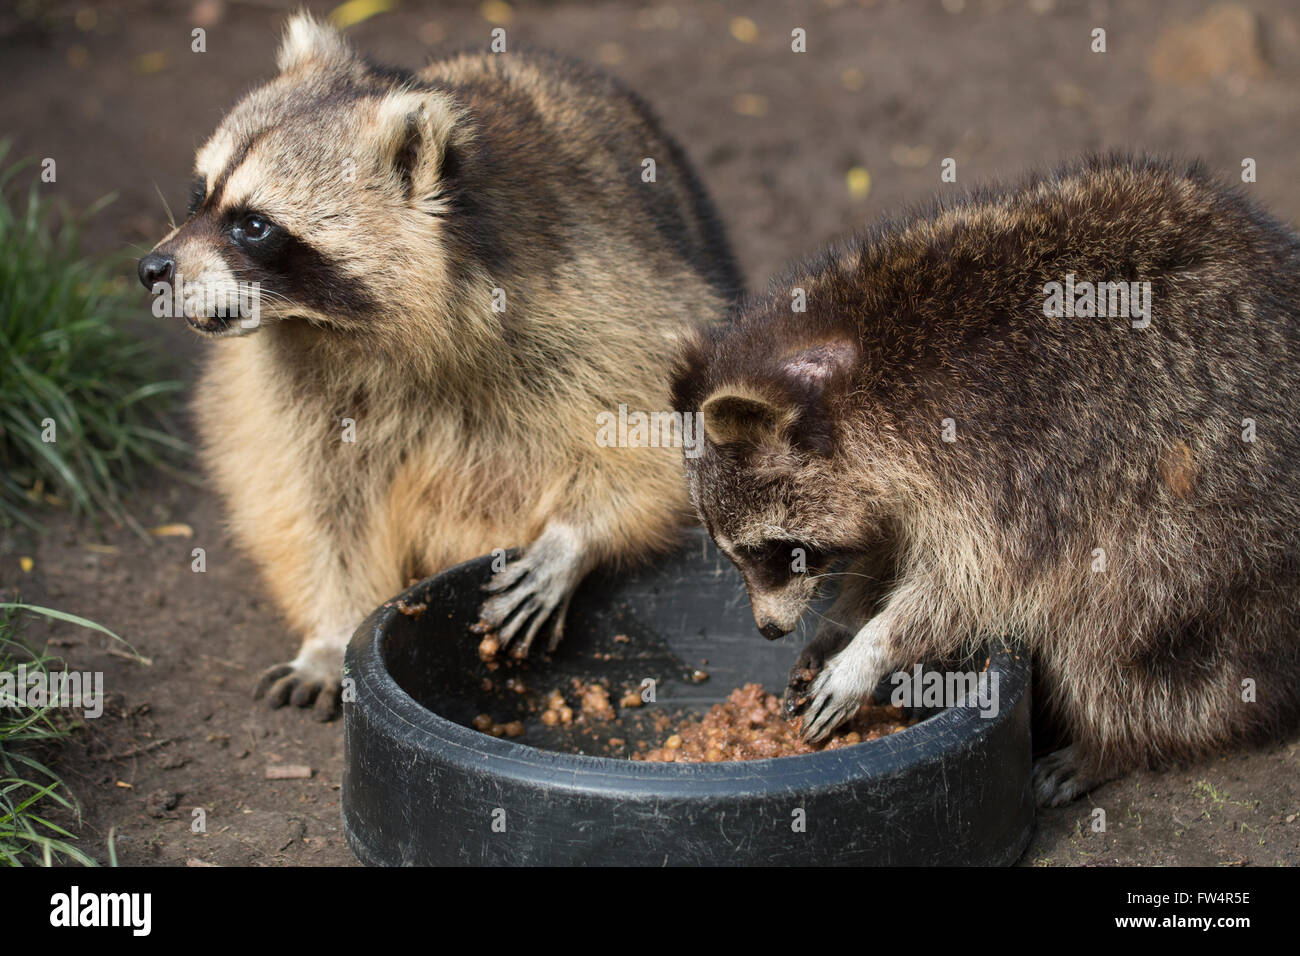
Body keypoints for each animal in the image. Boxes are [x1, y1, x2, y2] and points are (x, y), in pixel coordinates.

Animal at [138, 14, 741, 718]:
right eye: (199, 196)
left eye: (254, 226)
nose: (152, 269)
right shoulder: (285, 379)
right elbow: (310, 500)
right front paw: (331, 632)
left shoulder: (602, 294)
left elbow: (661, 434)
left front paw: (573, 538)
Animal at [672, 154, 1300, 806]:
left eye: (773, 551)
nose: (769, 630)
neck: (856, 362)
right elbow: (893, 542)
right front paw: (842, 620)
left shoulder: (1014, 458)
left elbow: (976, 585)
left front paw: (873, 647)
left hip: (1218, 529)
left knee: (1114, 628)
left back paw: (1111, 741)